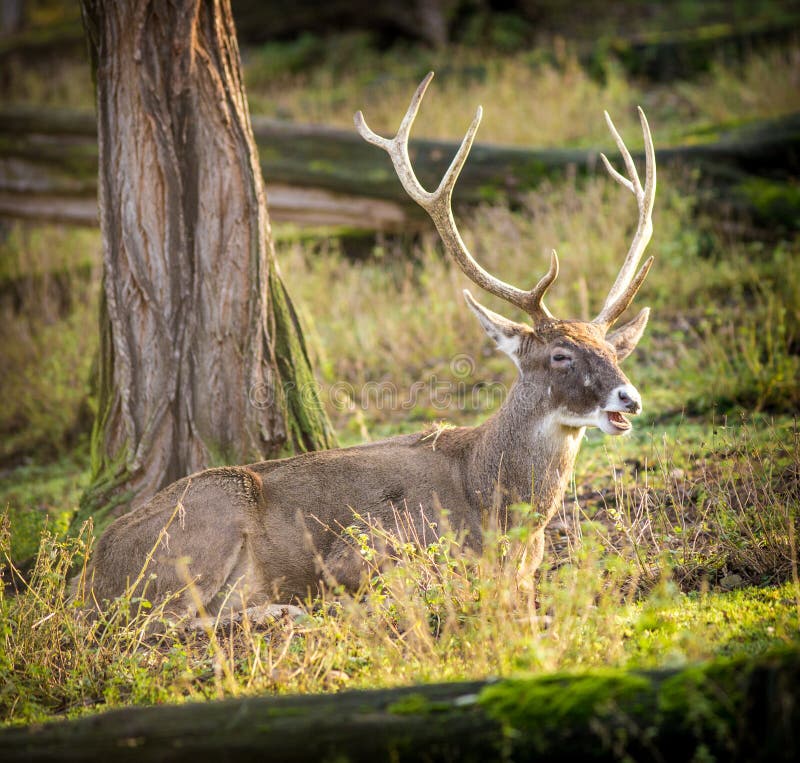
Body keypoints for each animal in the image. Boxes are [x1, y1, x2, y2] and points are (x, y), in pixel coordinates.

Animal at [76, 73, 656, 623]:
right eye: (560, 355)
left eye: (615, 352)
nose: (630, 398)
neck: (491, 504)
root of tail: (88, 576)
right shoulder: (368, 546)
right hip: (205, 522)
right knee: (149, 627)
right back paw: (278, 612)